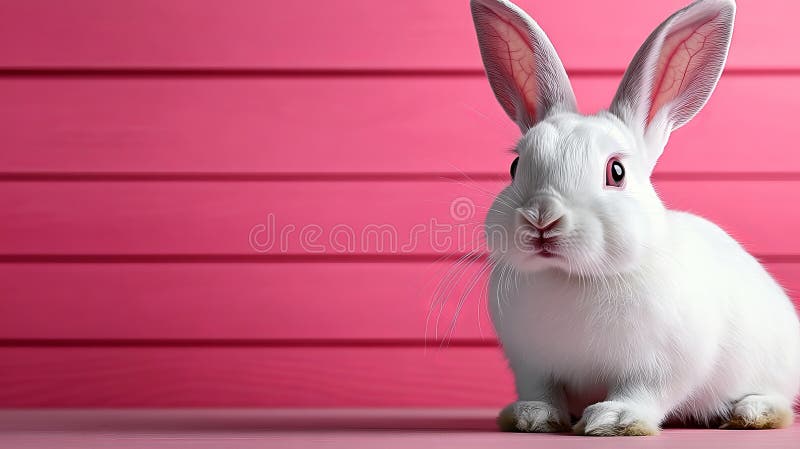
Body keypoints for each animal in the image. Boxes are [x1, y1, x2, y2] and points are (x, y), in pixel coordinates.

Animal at [471, 0, 800, 436]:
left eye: (616, 172)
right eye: (514, 166)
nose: (542, 218)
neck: (573, 278)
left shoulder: (662, 366)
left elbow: (643, 392)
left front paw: (614, 419)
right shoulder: (532, 366)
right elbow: (543, 392)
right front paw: (532, 417)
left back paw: (750, 412)